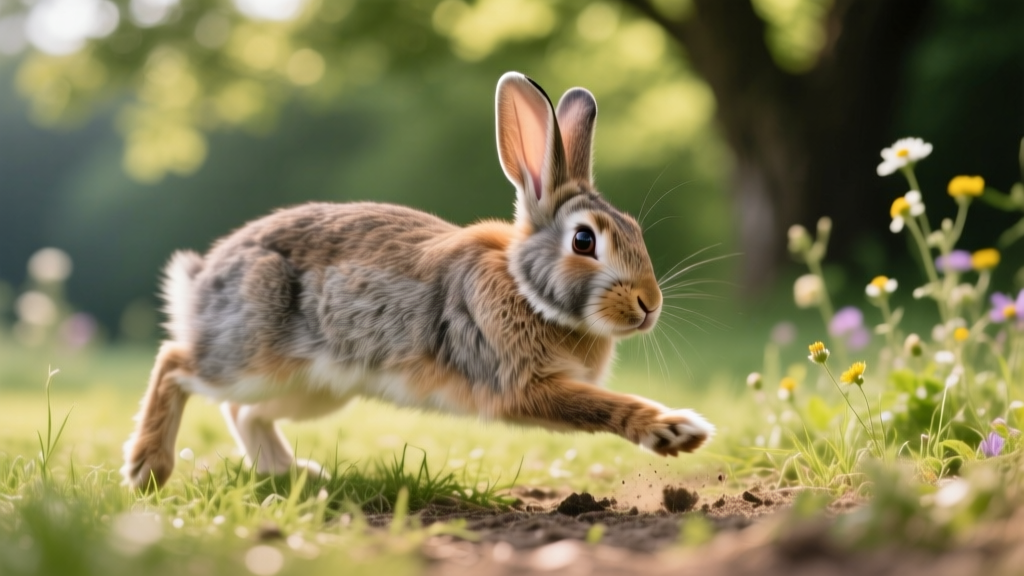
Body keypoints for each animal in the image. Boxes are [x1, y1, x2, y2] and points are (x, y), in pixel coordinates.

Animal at [121, 72, 715, 490]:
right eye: (585, 241)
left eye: (634, 230)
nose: (649, 304)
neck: (527, 290)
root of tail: (203, 279)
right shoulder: (519, 384)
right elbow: (600, 406)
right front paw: (676, 430)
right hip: (251, 357)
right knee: (177, 364)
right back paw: (147, 468)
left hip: (310, 390)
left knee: (241, 409)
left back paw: (295, 475)